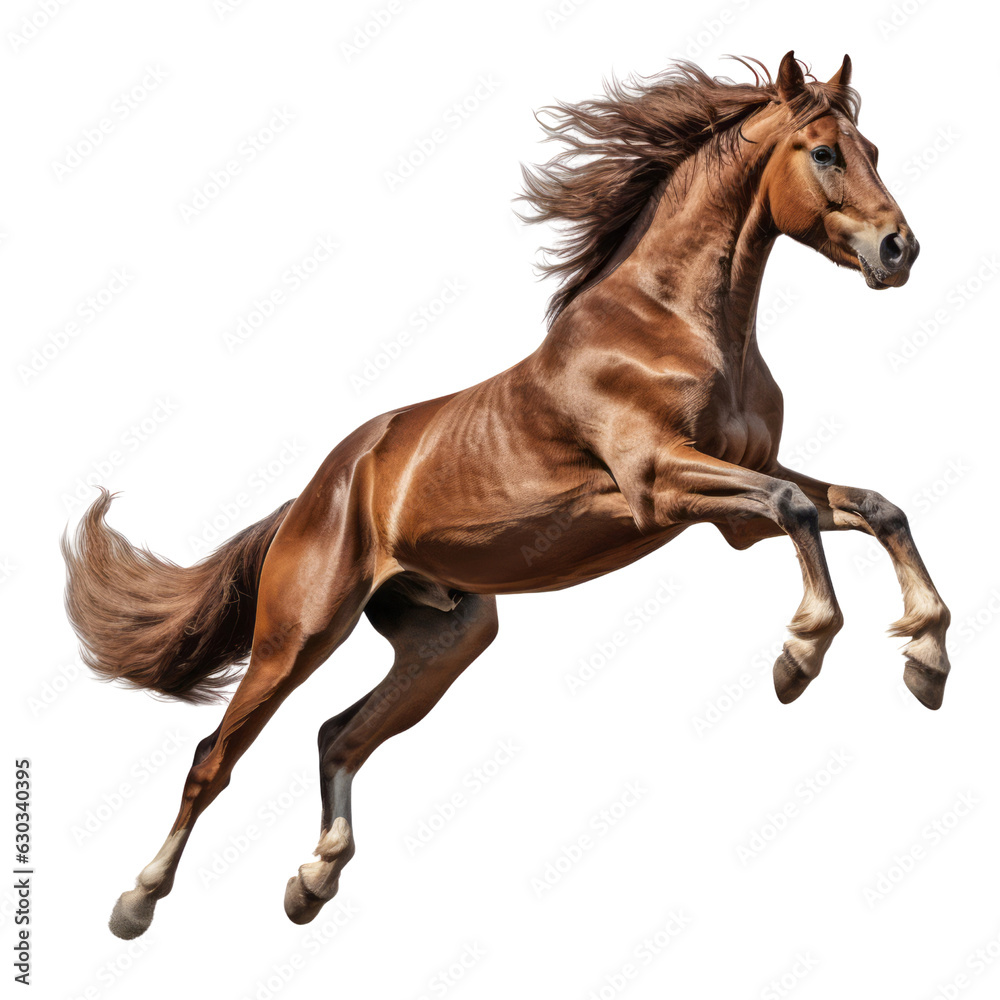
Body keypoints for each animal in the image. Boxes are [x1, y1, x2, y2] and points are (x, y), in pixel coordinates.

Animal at [62, 50, 951, 939]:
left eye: (872, 147)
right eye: (825, 152)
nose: (899, 249)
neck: (678, 325)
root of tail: (319, 491)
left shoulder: (739, 503)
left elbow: (874, 508)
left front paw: (927, 660)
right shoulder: (661, 482)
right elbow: (798, 510)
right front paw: (800, 655)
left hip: (447, 640)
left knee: (338, 736)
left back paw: (312, 882)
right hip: (300, 633)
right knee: (214, 757)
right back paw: (136, 901)